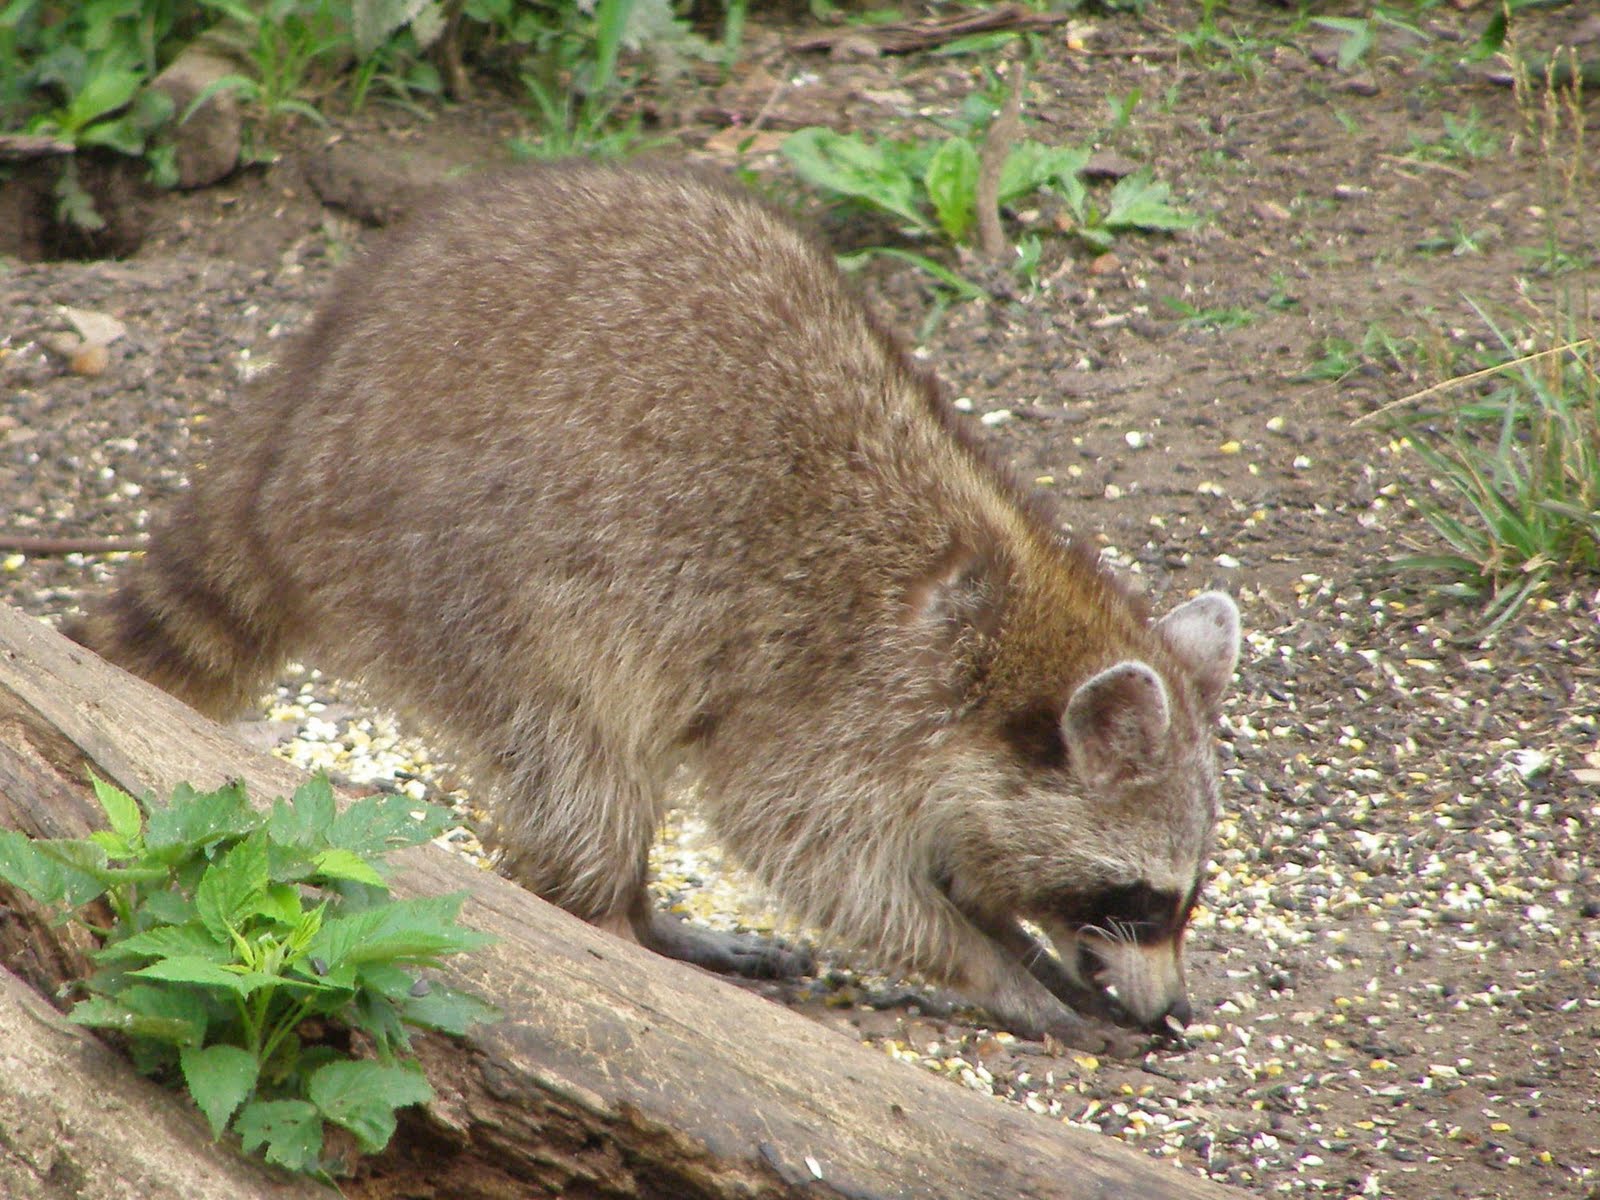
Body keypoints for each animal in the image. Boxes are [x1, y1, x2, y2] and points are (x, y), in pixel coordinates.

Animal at [70, 162, 1241, 1052]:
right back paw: (614, 922)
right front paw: (997, 971)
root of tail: (289, 423)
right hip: (467, 575)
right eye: (1138, 900)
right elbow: (816, 852)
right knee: (580, 758)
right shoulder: (855, 694)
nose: (1173, 1009)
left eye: (1185, 898)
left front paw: (1026, 944)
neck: (1018, 636)